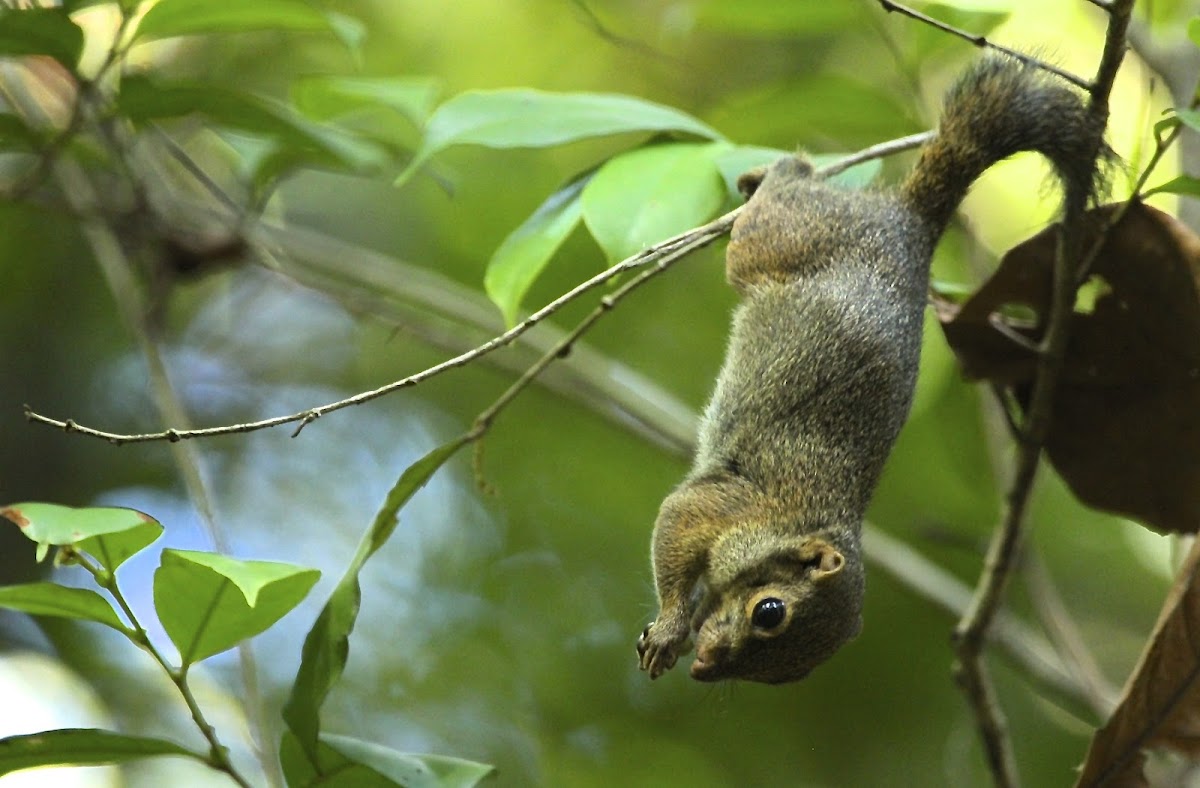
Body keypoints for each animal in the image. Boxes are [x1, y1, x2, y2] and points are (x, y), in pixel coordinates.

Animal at [636, 55, 1106, 684]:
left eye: (784, 674)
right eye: (769, 612)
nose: (707, 667)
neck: (790, 524)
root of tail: (909, 225)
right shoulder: (727, 503)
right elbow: (676, 522)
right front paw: (669, 626)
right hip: (788, 235)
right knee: (786, 195)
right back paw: (773, 172)